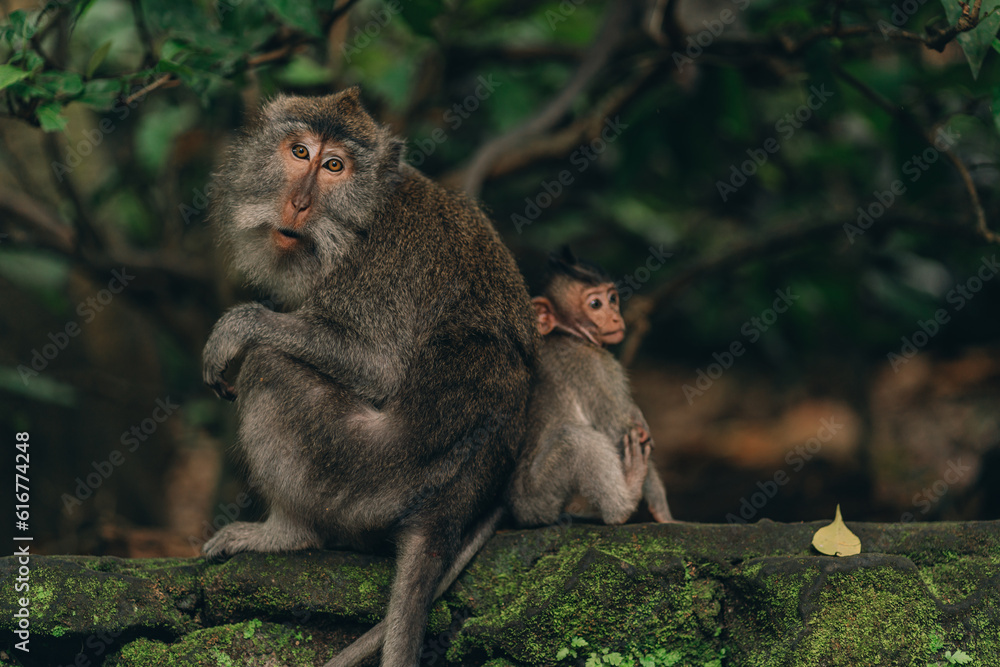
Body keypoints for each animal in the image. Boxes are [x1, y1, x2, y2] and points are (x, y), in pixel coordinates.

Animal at [199, 87, 536, 667]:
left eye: (335, 166)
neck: (360, 218)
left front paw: (240, 325)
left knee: (269, 367)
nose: (299, 204)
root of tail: (453, 500)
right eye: (300, 152)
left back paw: (287, 532)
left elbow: (378, 367)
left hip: (366, 478)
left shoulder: (381, 266)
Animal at [508, 246, 675, 526]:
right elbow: (618, 430)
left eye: (612, 298)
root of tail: (516, 512)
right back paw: (623, 503)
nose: (615, 317)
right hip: (537, 497)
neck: (568, 334)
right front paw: (663, 511)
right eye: (595, 305)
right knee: (576, 440)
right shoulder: (593, 365)